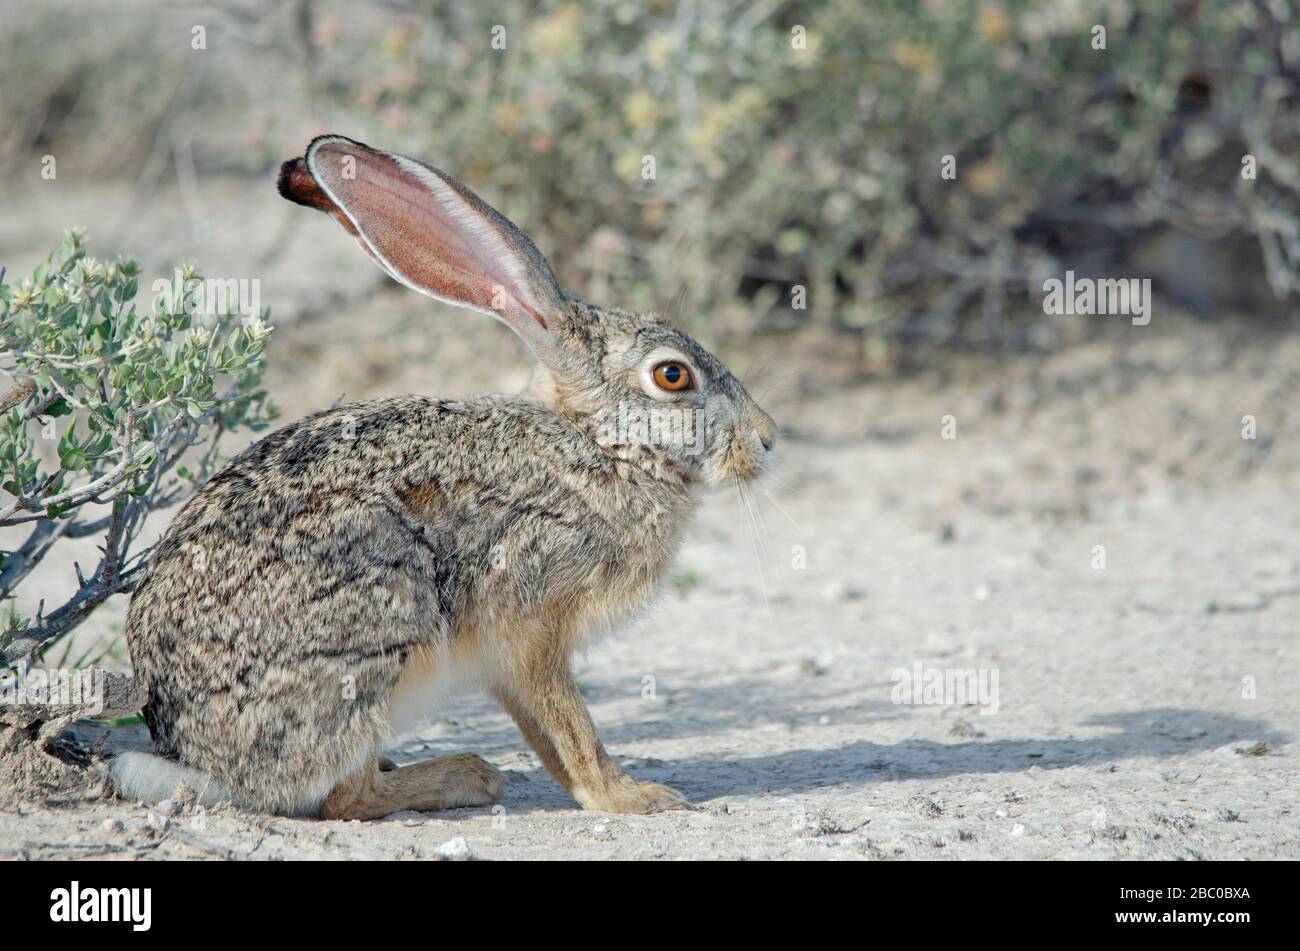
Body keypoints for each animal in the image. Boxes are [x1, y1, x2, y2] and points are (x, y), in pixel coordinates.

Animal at [110, 134, 776, 819]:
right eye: (673, 375)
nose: (766, 439)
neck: (603, 446)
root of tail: (198, 760)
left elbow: (547, 732)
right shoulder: (530, 624)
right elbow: (572, 726)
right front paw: (633, 796)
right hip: (382, 634)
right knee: (344, 795)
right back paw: (466, 775)